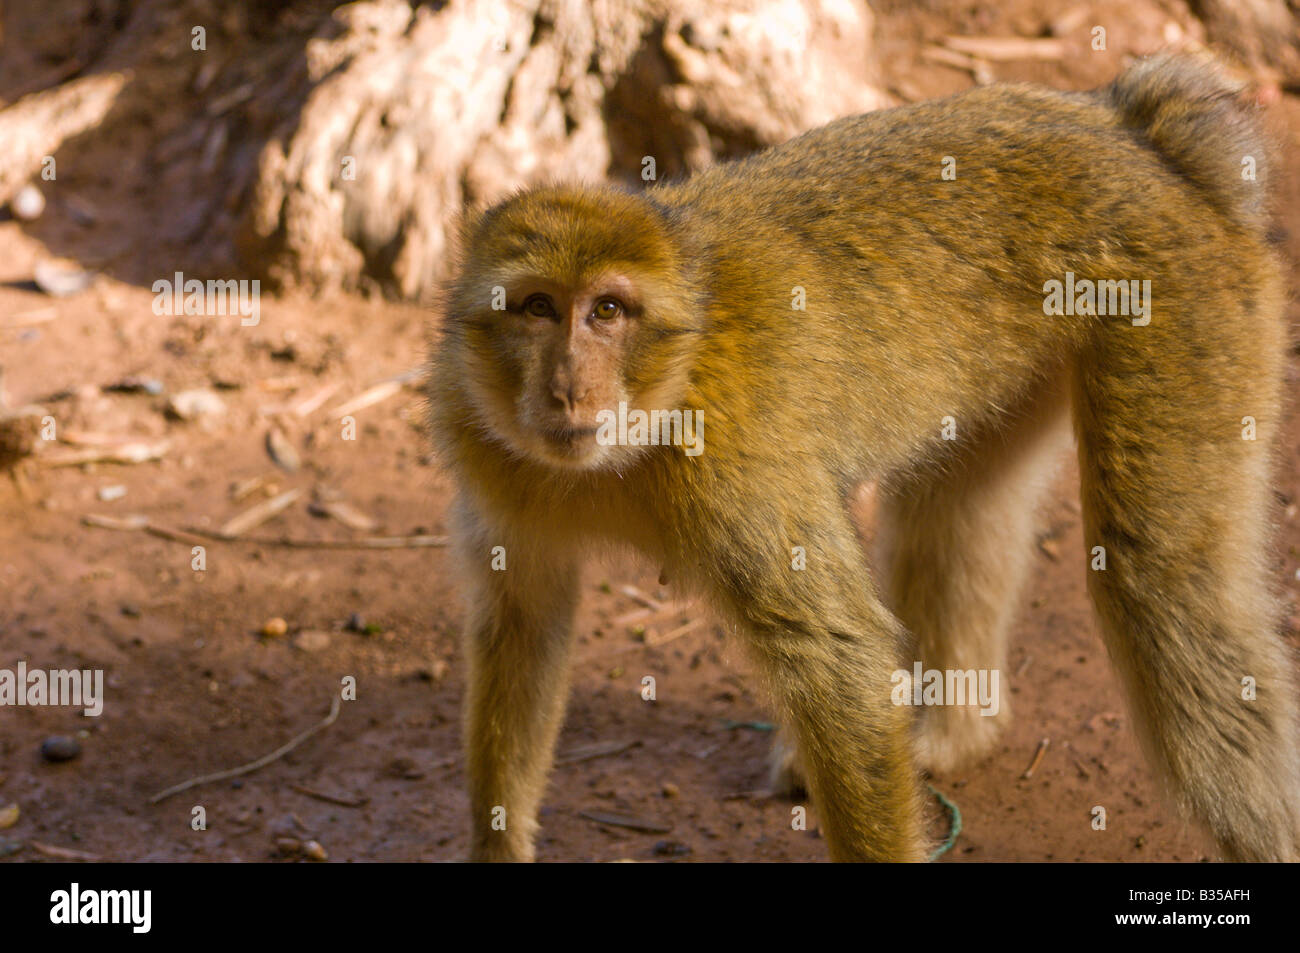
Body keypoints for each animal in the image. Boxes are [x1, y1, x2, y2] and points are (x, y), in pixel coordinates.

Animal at [430, 52, 1300, 862]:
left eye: (607, 310)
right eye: (538, 308)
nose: (569, 389)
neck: (646, 418)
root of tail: (1141, 138)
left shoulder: (733, 462)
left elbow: (834, 658)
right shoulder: (491, 457)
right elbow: (523, 623)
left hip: (1177, 300)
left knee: (1162, 586)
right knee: (956, 505)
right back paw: (949, 734)